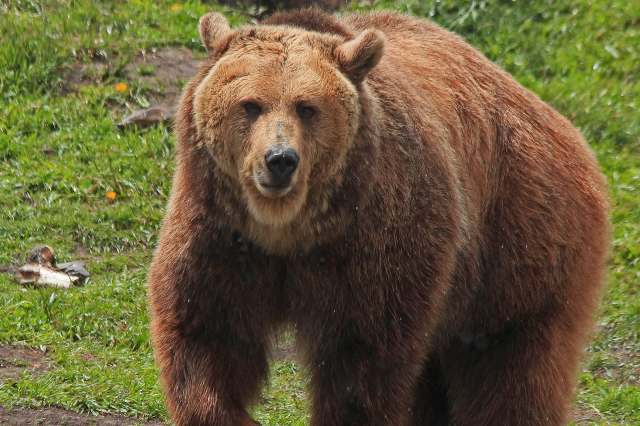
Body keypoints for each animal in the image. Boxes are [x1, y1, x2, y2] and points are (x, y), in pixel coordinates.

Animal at [147, 8, 610, 426]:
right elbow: (208, 333)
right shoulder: (220, 233)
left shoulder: (376, 238)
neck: (287, 231)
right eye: (251, 105)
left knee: (509, 366)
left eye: (306, 107)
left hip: (517, 238)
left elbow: (362, 358)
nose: (280, 160)